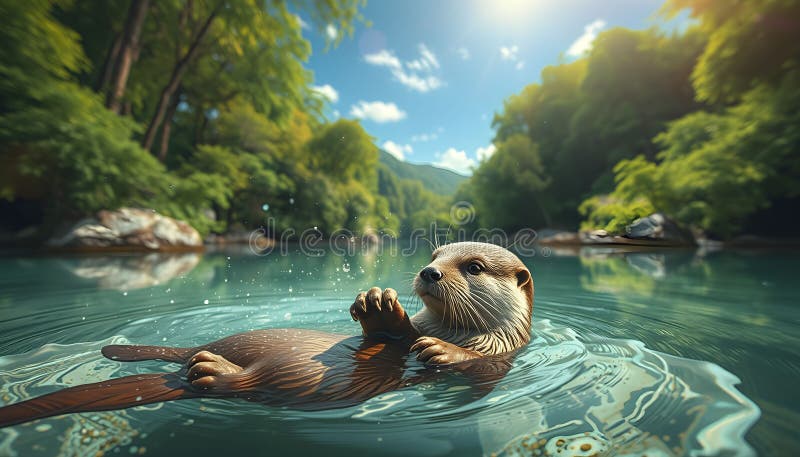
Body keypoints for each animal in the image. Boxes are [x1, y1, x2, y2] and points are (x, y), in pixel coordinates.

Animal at [0, 242, 533, 428]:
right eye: (436, 253)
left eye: (474, 266)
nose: (428, 272)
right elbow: (396, 331)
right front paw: (378, 305)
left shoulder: (495, 351)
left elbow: (460, 360)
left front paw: (437, 348)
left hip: (296, 379)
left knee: (240, 382)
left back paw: (210, 372)